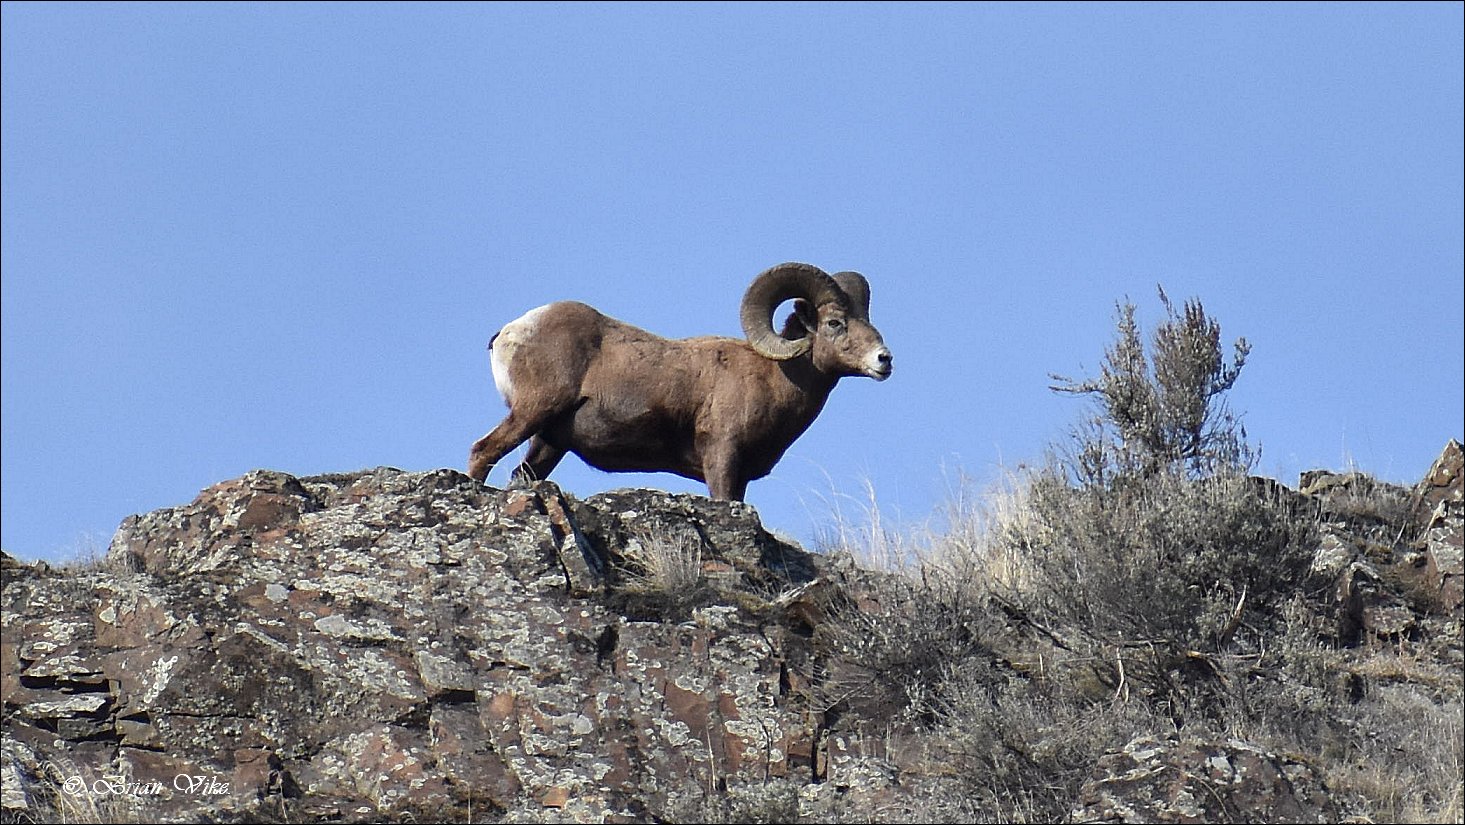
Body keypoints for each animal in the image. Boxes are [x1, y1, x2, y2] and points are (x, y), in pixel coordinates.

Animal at [467, 262, 892, 500]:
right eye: (835, 323)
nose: (884, 360)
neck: (773, 376)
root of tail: (511, 330)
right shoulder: (722, 459)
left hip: (549, 442)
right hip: (532, 412)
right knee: (483, 451)